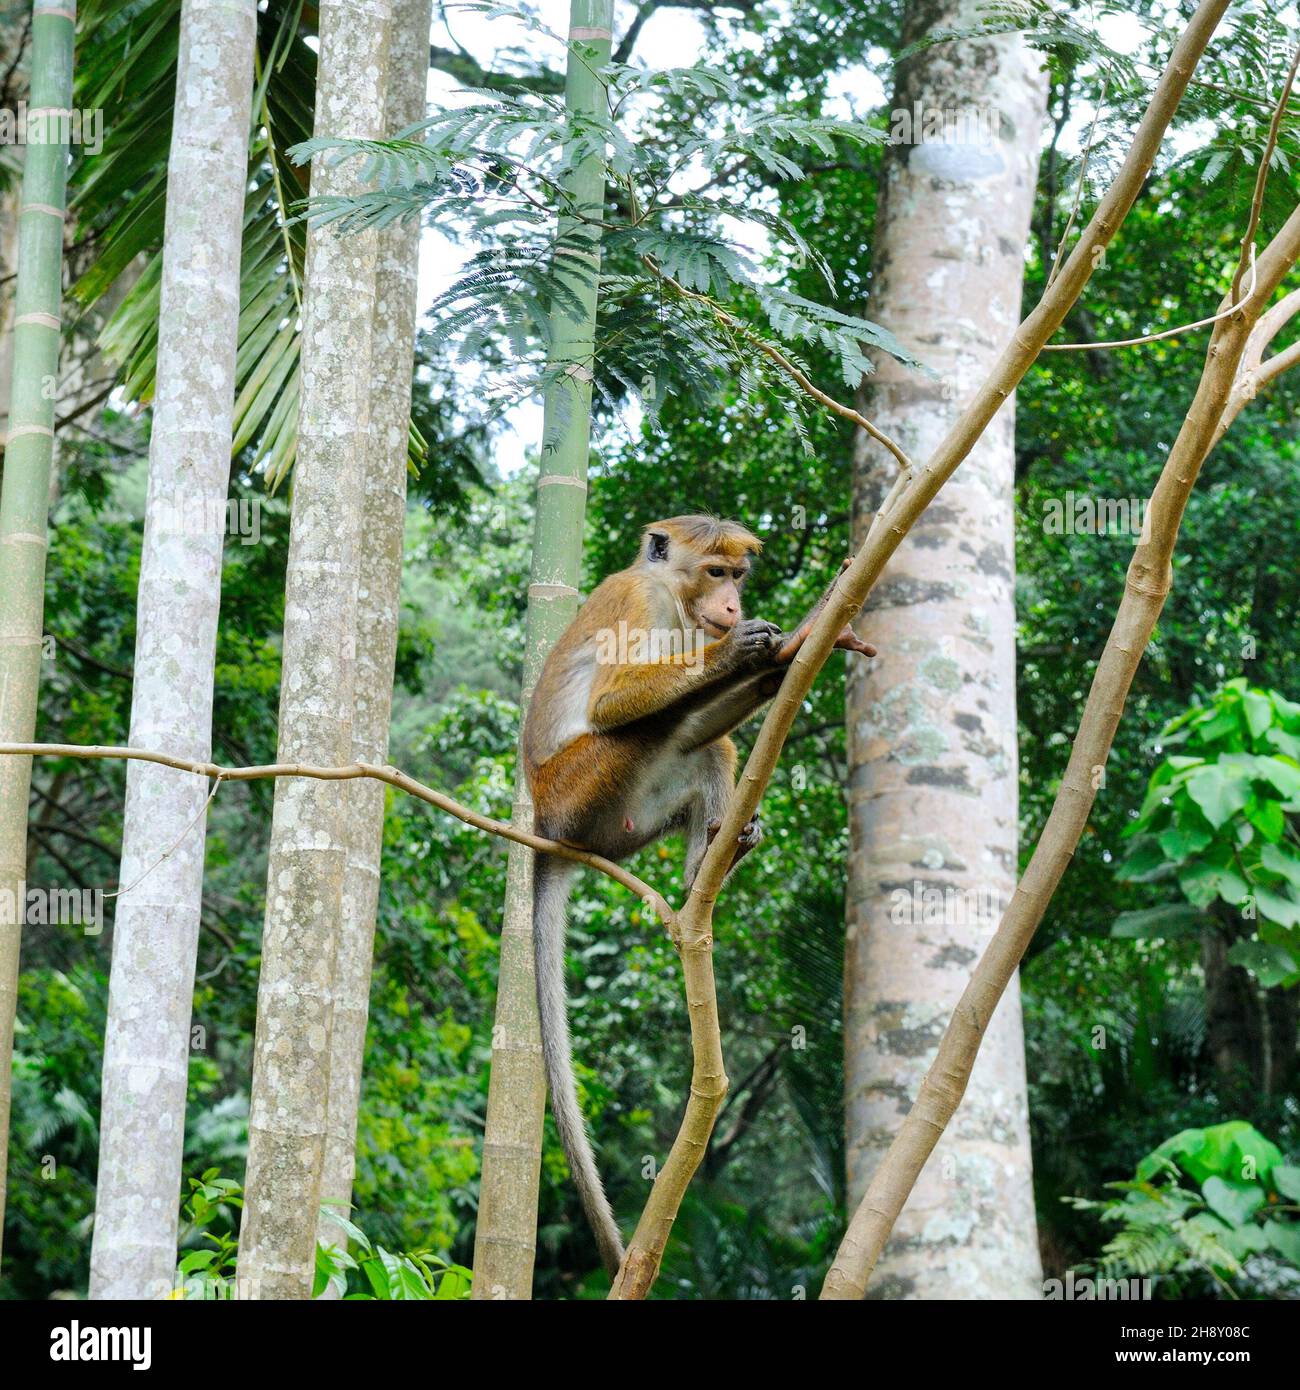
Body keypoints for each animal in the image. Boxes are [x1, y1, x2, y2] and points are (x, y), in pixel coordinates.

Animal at [521, 515, 874, 1278]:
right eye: (716, 572)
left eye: (738, 576)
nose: (733, 607)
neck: (675, 597)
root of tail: (545, 827)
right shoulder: (639, 603)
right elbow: (612, 698)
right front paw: (732, 654)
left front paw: (799, 640)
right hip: (581, 789)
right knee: (648, 722)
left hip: (627, 818)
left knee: (708, 744)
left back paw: (708, 867)